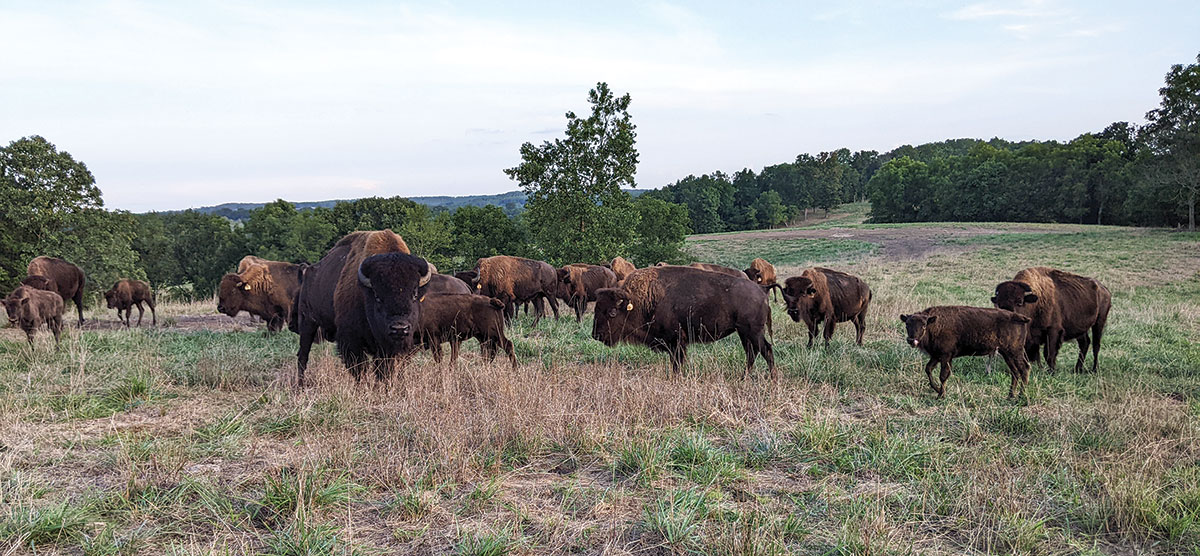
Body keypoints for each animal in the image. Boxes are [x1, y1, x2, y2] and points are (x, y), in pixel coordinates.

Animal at [592, 266, 775, 378]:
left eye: (612, 312)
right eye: (596, 310)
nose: (596, 335)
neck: (640, 301)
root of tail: (761, 289)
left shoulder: (677, 341)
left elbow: (677, 363)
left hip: (753, 332)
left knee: (765, 350)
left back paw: (772, 379)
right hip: (744, 333)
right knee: (752, 353)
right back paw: (743, 378)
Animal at [900, 306, 1032, 399]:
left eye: (923, 325)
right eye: (907, 324)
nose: (911, 340)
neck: (934, 324)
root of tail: (1020, 317)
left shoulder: (945, 356)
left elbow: (943, 375)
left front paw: (941, 395)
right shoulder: (936, 356)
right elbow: (928, 369)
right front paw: (938, 390)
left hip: (1015, 351)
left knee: (1024, 368)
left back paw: (1021, 396)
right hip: (1007, 354)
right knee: (1015, 372)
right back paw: (1010, 396)